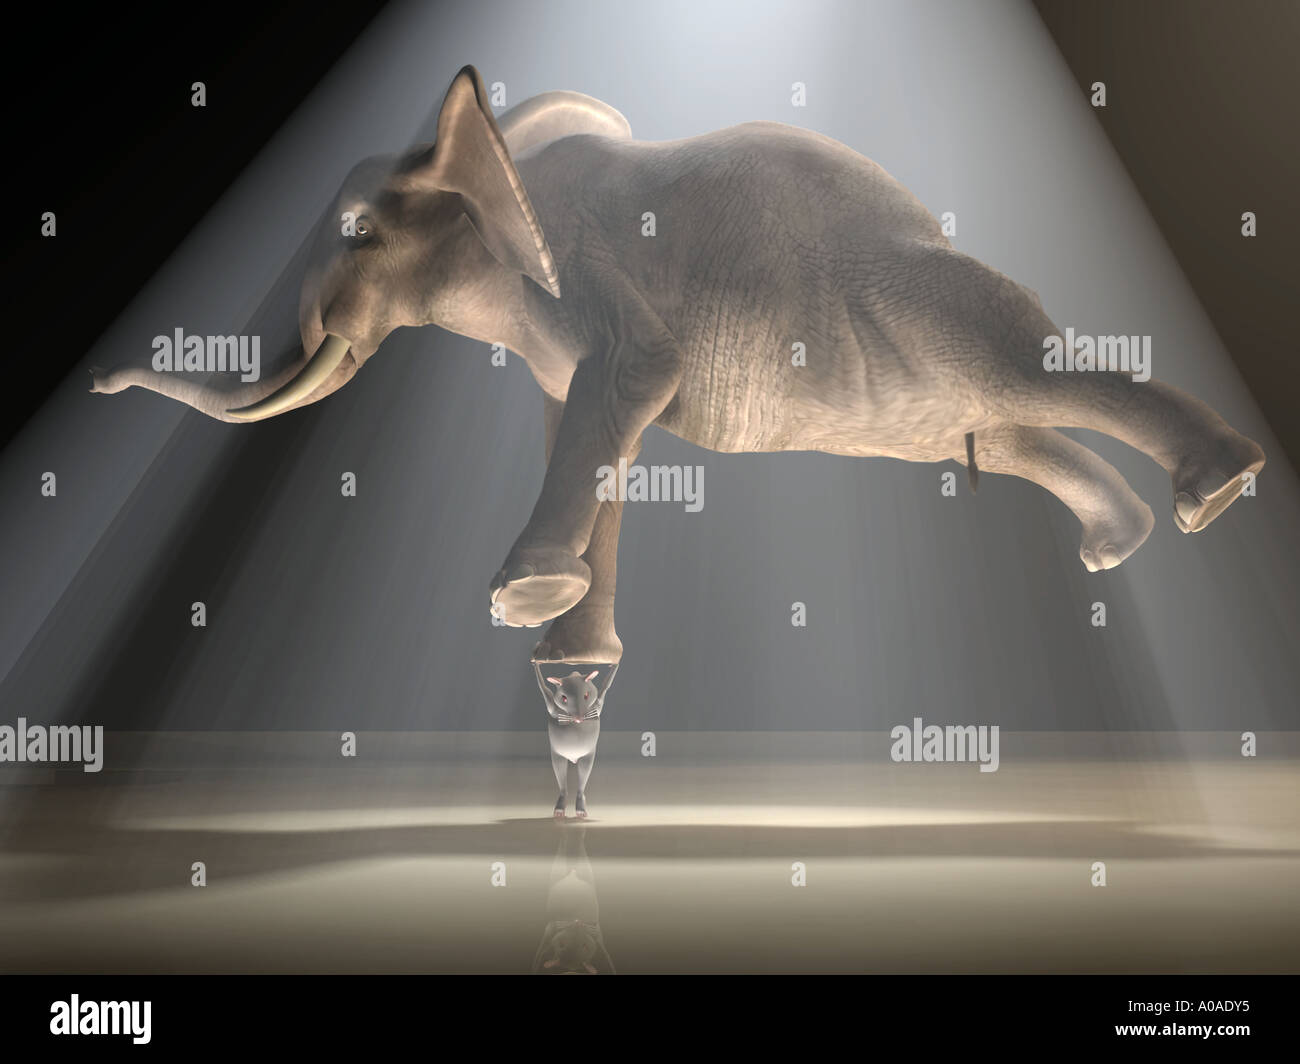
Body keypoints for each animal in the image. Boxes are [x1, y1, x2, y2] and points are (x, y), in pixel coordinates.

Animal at [91, 64, 1265, 668]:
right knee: (1008, 435)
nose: (103, 385)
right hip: (908, 394)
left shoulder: (596, 272)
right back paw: (1118, 544)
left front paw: (518, 601)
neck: (497, 157)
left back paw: (1218, 491)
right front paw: (560, 623)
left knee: (1031, 372)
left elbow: (630, 383)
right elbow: (596, 430)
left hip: (919, 305)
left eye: (355, 231)